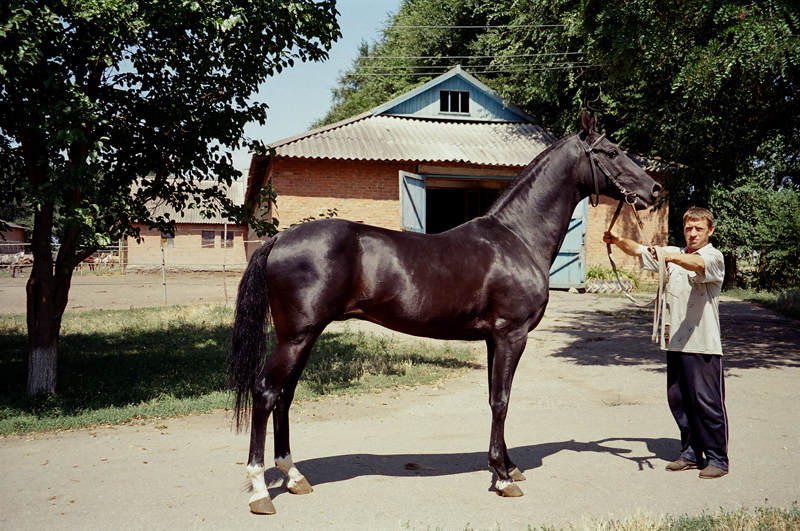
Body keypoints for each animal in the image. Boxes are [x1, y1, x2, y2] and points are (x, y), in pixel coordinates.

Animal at [228, 110, 662, 514]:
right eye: (611, 152)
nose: (655, 189)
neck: (517, 238)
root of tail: (279, 239)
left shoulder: (493, 339)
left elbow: (494, 397)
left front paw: (507, 466)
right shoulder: (511, 335)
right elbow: (502, 400)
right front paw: (503, 478)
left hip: (305, 336)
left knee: (284, 396)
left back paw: (294, 476)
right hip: (295, 337)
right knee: (266, 393)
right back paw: (261, 491)